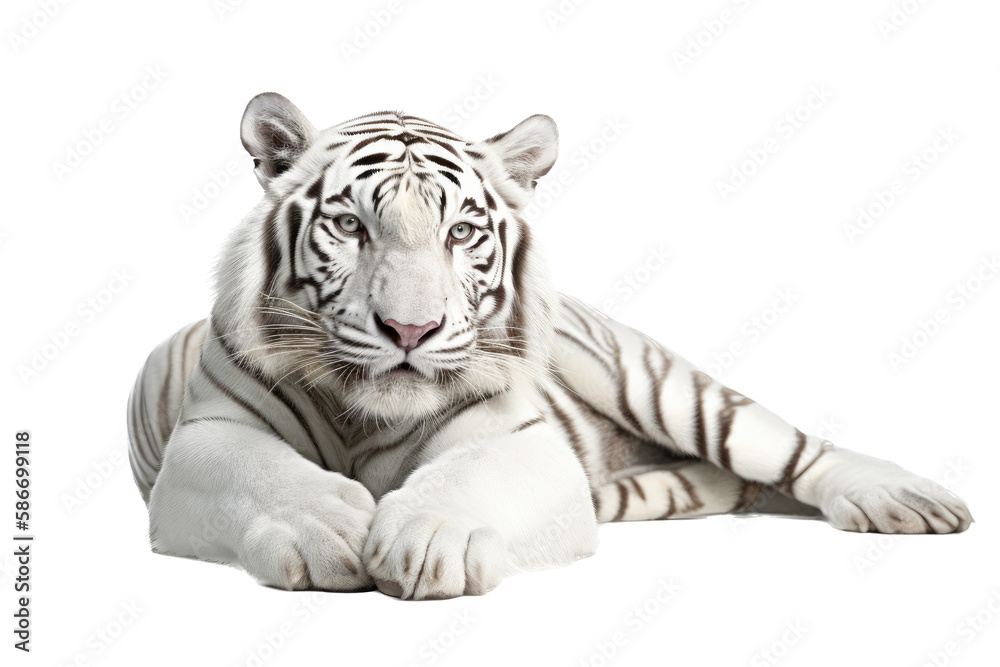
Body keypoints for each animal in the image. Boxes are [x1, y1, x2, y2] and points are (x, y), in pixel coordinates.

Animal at [127, 93, 973, 600]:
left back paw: (904, 499)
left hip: (660, 384)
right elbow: (260, 473)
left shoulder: (523, 437)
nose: (410, 330)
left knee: (788, 447)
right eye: (348, 225)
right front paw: (330, 526)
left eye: (461, 232)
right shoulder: (205, 436)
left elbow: (470, 478)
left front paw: (429, 537)